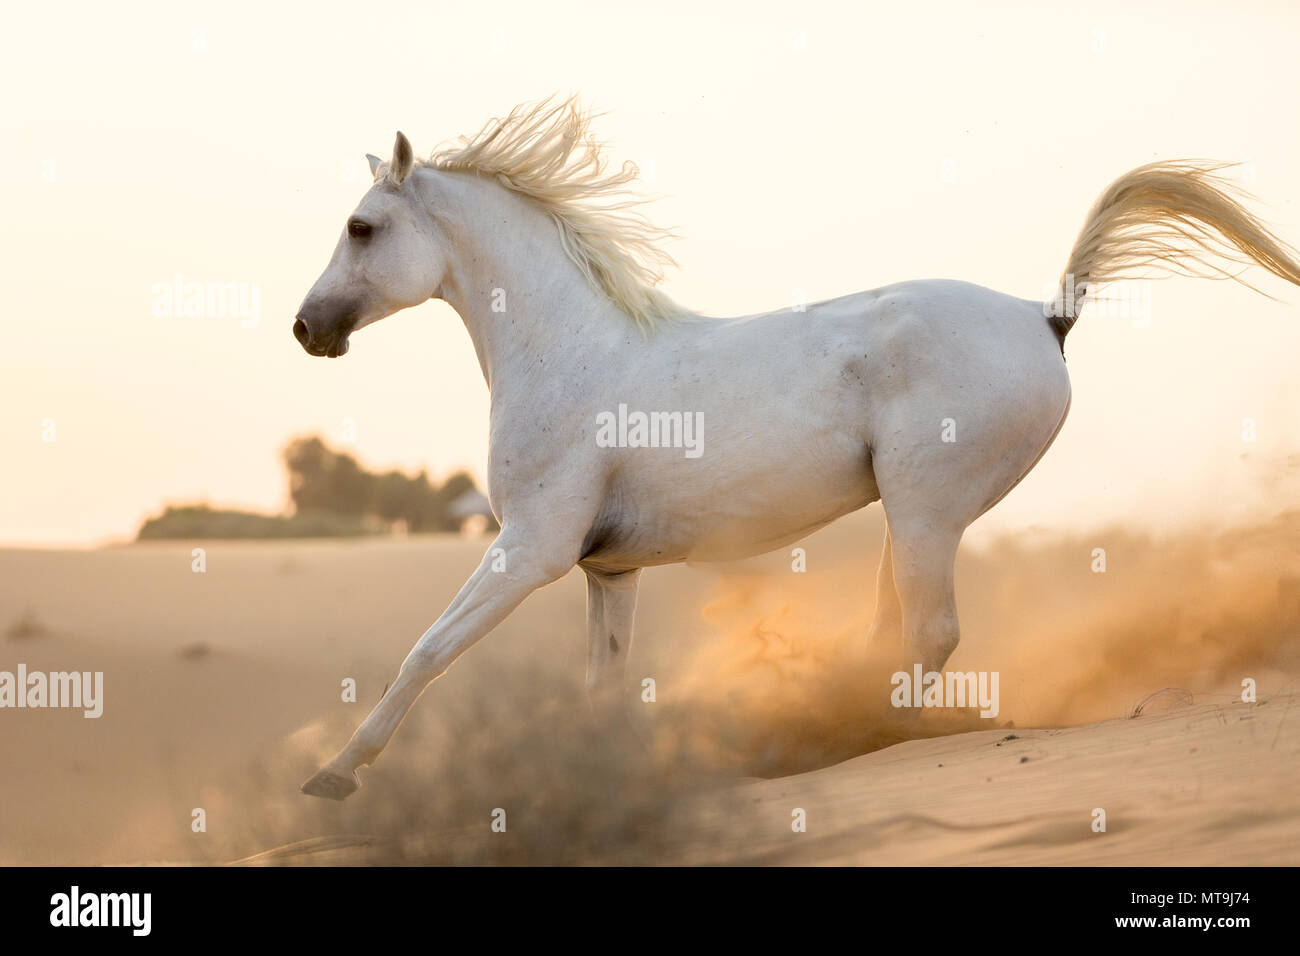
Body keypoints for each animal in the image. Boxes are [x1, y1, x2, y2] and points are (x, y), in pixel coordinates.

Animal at [293, 96, 1300, 800]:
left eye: (362, 227)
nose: (308, 329)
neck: (569, 352)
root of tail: (1043, 314)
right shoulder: (607, 571)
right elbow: (602, 688)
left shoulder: (528, 549)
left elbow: (427, 650)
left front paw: (334, 774)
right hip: (911, 516)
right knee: (896, 631)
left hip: (927, 508)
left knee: (929, 632)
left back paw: (846, 736)